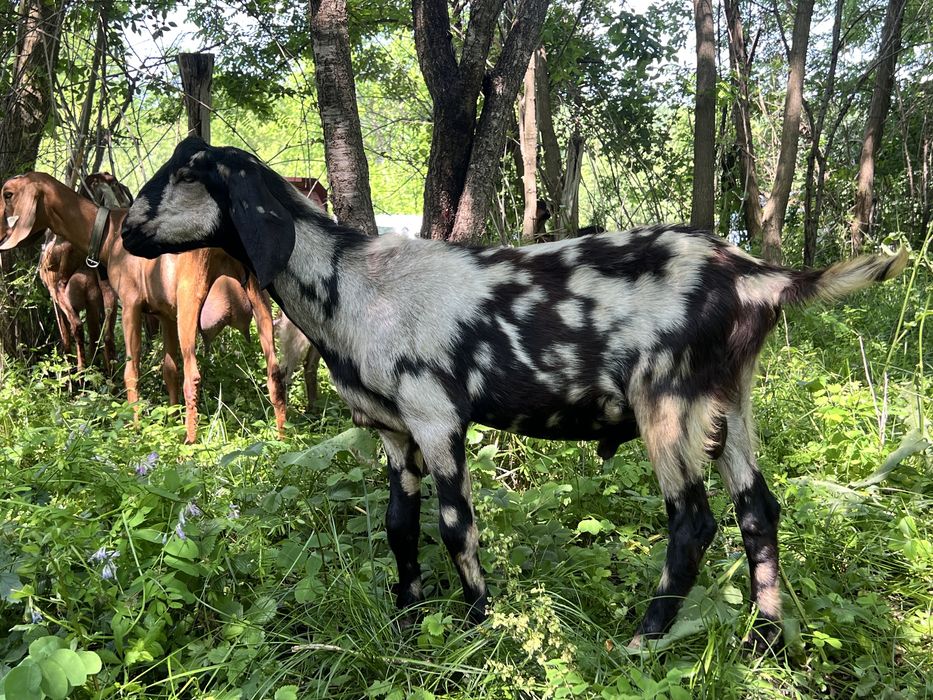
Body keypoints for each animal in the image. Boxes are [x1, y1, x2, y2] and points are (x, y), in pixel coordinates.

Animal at [0, 171, 287, 444]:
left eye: (7, 194)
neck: (109, 233)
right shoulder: (165, 314)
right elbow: (169, 369)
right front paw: (170, 418)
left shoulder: (130, 305)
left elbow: (131, 370)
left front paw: (136, 427)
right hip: (258, 298)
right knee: (274, 371)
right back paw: (282, 439)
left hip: (189, 301)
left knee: (193, 375)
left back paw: (190, 442)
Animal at [120, 137, 907, 650]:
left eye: (187, 175)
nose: (126, 231)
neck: (352, 282)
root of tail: (754, 276)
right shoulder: (394, 432)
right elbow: (398, 528)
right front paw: (407, 621)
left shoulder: (437, 419)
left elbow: (454, 527)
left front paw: (477, 624)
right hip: (728, 403)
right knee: (757, 512)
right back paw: (766, 641)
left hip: (667, 401)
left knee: (692, 522)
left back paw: (645, 639)